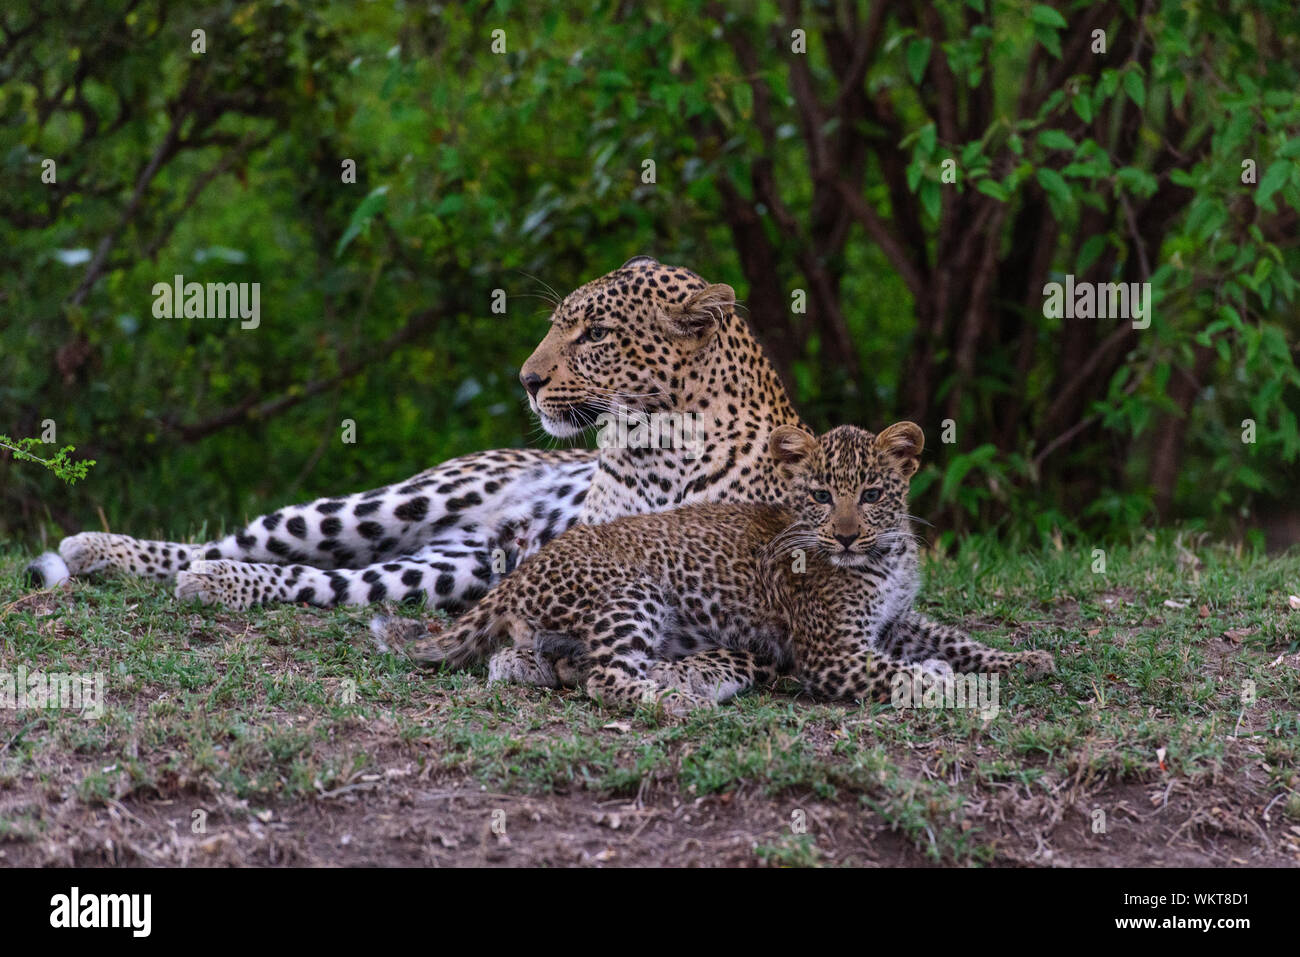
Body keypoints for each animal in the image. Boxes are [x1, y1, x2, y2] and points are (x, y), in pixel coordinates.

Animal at [22, 257, 802, 615]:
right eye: (560, 324)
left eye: (597, 335)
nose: (526, 379)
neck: (654, 450)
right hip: (383, 506)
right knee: (222, 543)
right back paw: (104, 549)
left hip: (449, 565)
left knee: (330, 581)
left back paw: (208, 582)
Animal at [374, 421, 1055, 715]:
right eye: (820, 495)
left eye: (870, 494)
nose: (844, 534)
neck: (884, 555)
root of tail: (524, 568)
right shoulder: (835, 652)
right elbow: (910, 674)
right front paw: (960, 684)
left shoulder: (896, 622)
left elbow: (956, 639)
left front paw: (1023, 660)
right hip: (633, 591)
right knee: (606, 678)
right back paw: (680, 697)